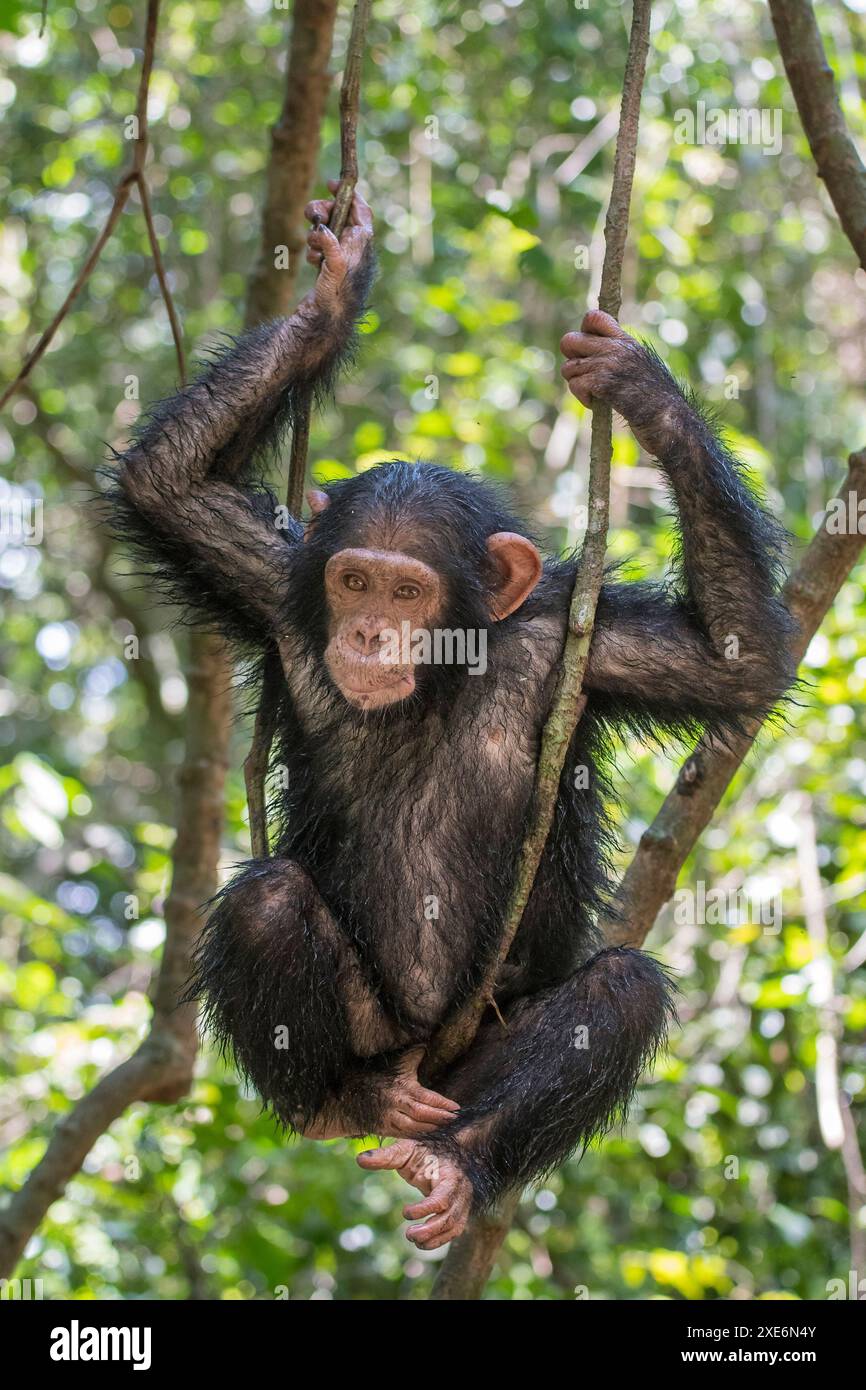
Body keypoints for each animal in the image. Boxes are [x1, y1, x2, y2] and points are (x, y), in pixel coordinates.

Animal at [108, 188, 795, 1250]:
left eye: (408, 590)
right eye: (354, 581)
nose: (368, 631)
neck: (437, 680)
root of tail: (422, 1069)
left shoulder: (581, 645)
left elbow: (735, 659)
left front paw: (639, 385)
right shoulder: (273, 585)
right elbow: (168, 485)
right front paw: (332, 297)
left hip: (474, 1059)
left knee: (620, 993)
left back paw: (456, 1161)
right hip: (382, 1037)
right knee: (271, 906)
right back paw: (344, 1102)